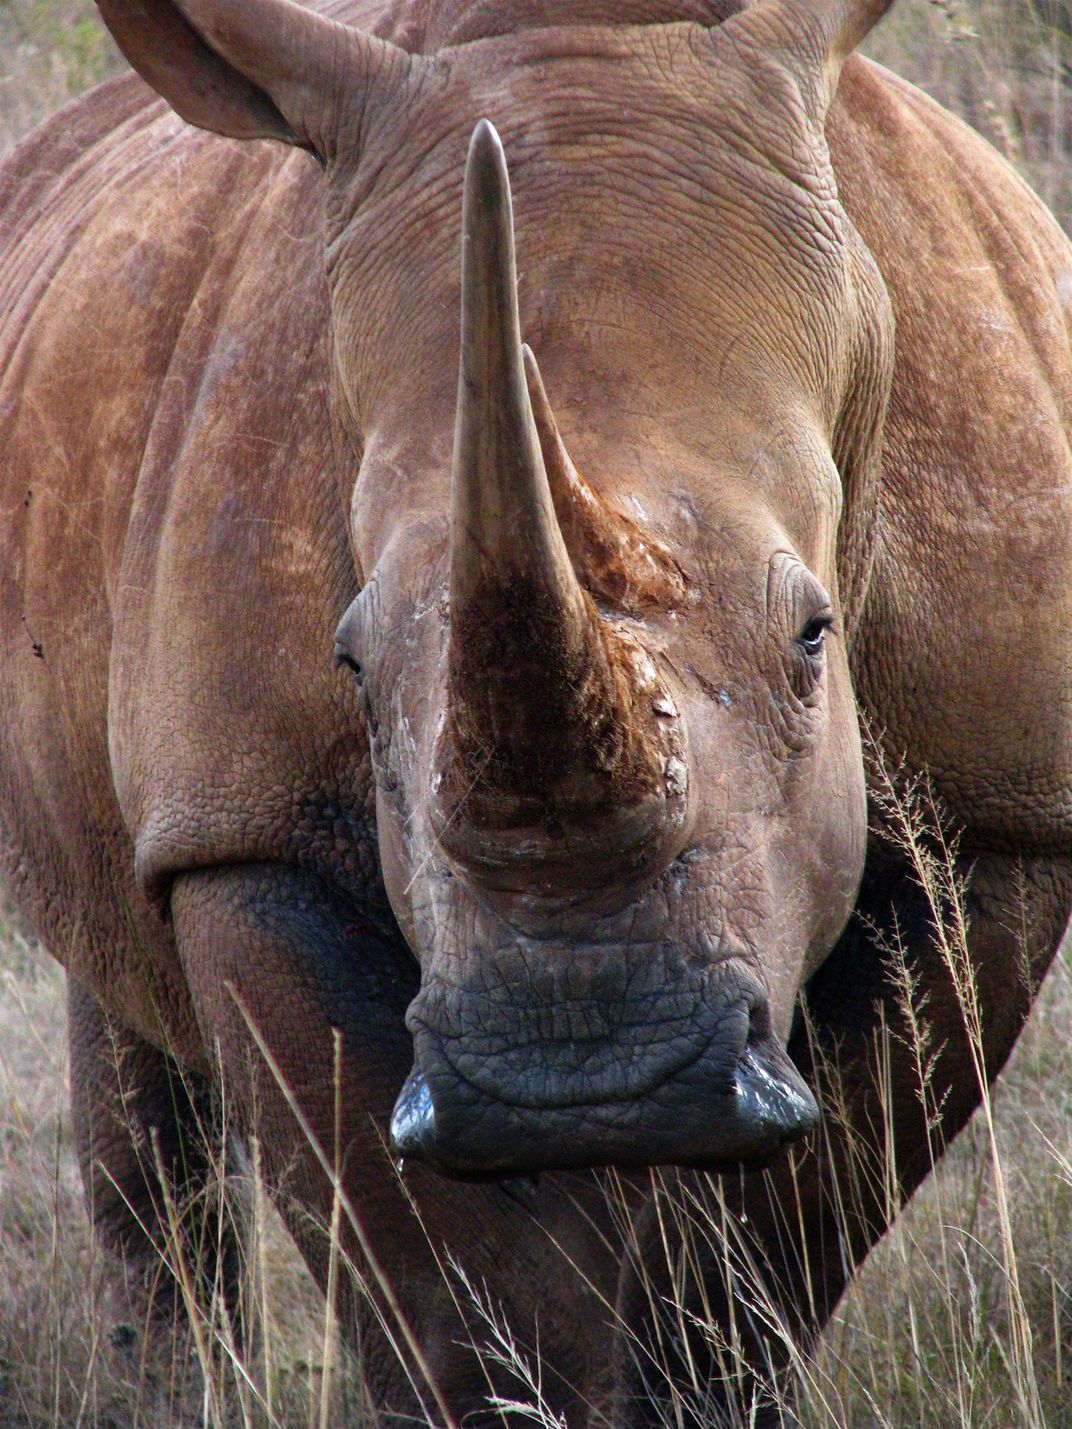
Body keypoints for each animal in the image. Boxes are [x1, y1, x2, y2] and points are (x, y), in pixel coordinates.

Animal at [1, 0, 1070, 1421]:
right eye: (349, 668)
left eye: (813, 639)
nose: (579, 1075)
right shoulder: (244, 827)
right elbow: (439, 1284)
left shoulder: (994, 801)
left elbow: (772, 1250)